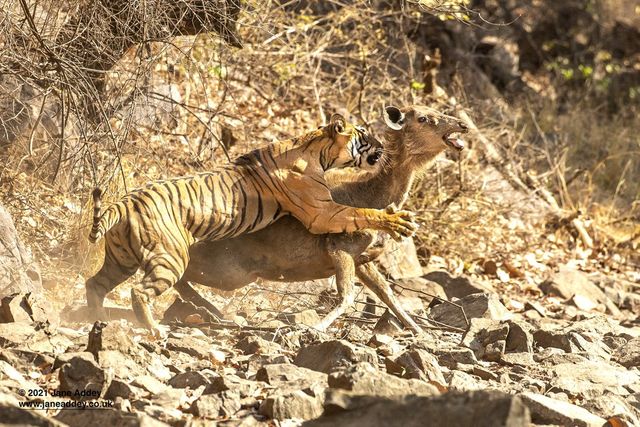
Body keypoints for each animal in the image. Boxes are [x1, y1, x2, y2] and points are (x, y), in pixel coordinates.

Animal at [85, 114, 418, 335]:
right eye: (364, 134)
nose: (384, 145)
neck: (316, 149)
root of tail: (125, 201)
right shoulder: (321, 213)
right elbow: (362, 212)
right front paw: (398, 221)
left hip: (121, 259)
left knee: (94, 283)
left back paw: (97, 318)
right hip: (169, 258)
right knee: (139, 291)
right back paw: (153, 328)